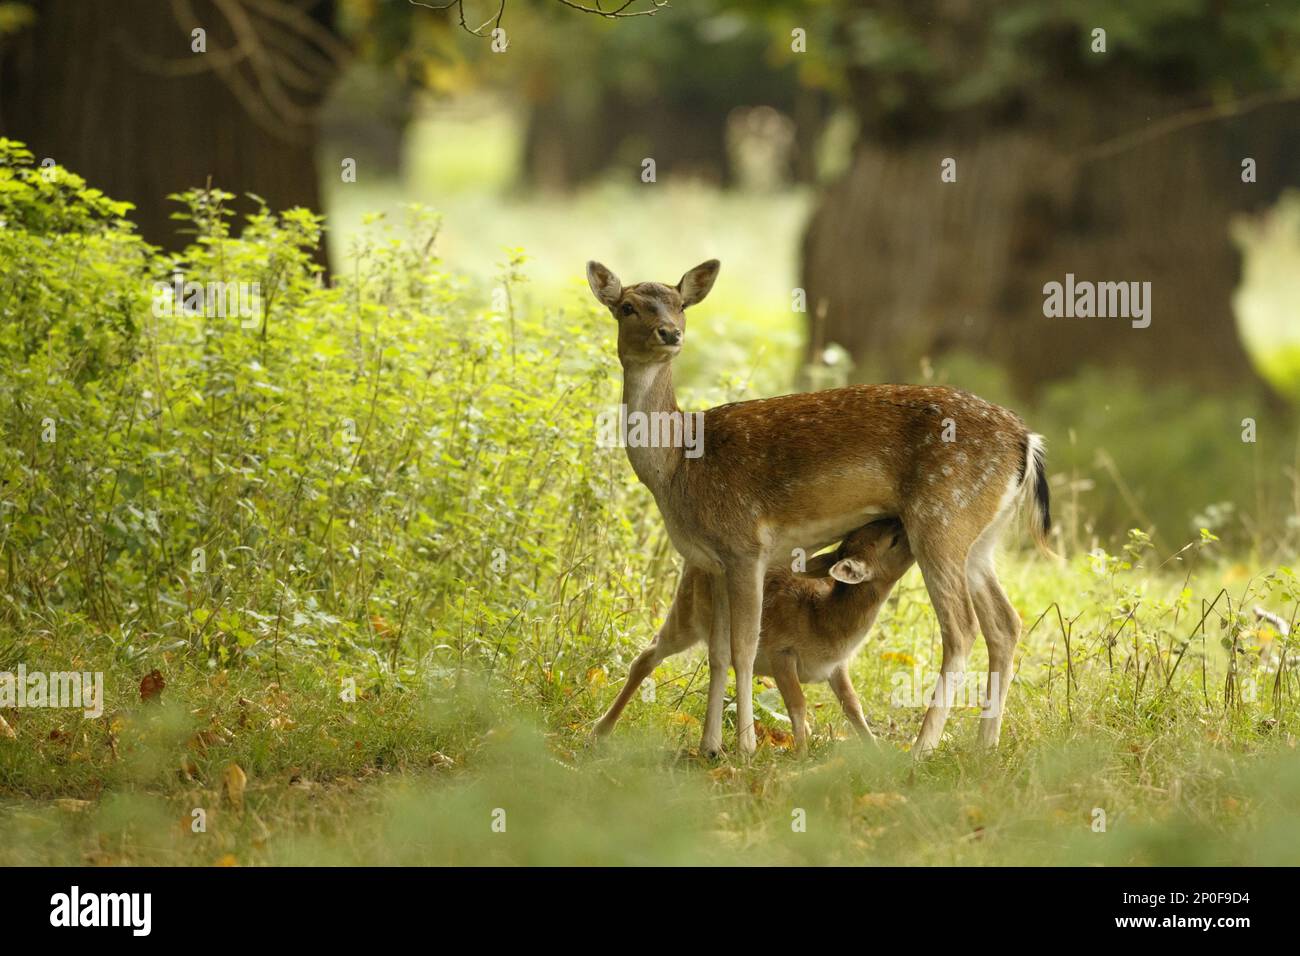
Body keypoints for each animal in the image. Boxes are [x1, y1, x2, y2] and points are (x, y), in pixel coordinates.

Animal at [595, 517, 915, 751]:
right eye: (893, 540)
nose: (898, 519)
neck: (824, 622)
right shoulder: (781, 652)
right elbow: (798, 703)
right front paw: (801, 754)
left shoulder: (837, 666)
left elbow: (853, 704)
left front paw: (875, 750)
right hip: (686, 614)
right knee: (647, 655)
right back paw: (601, 729)